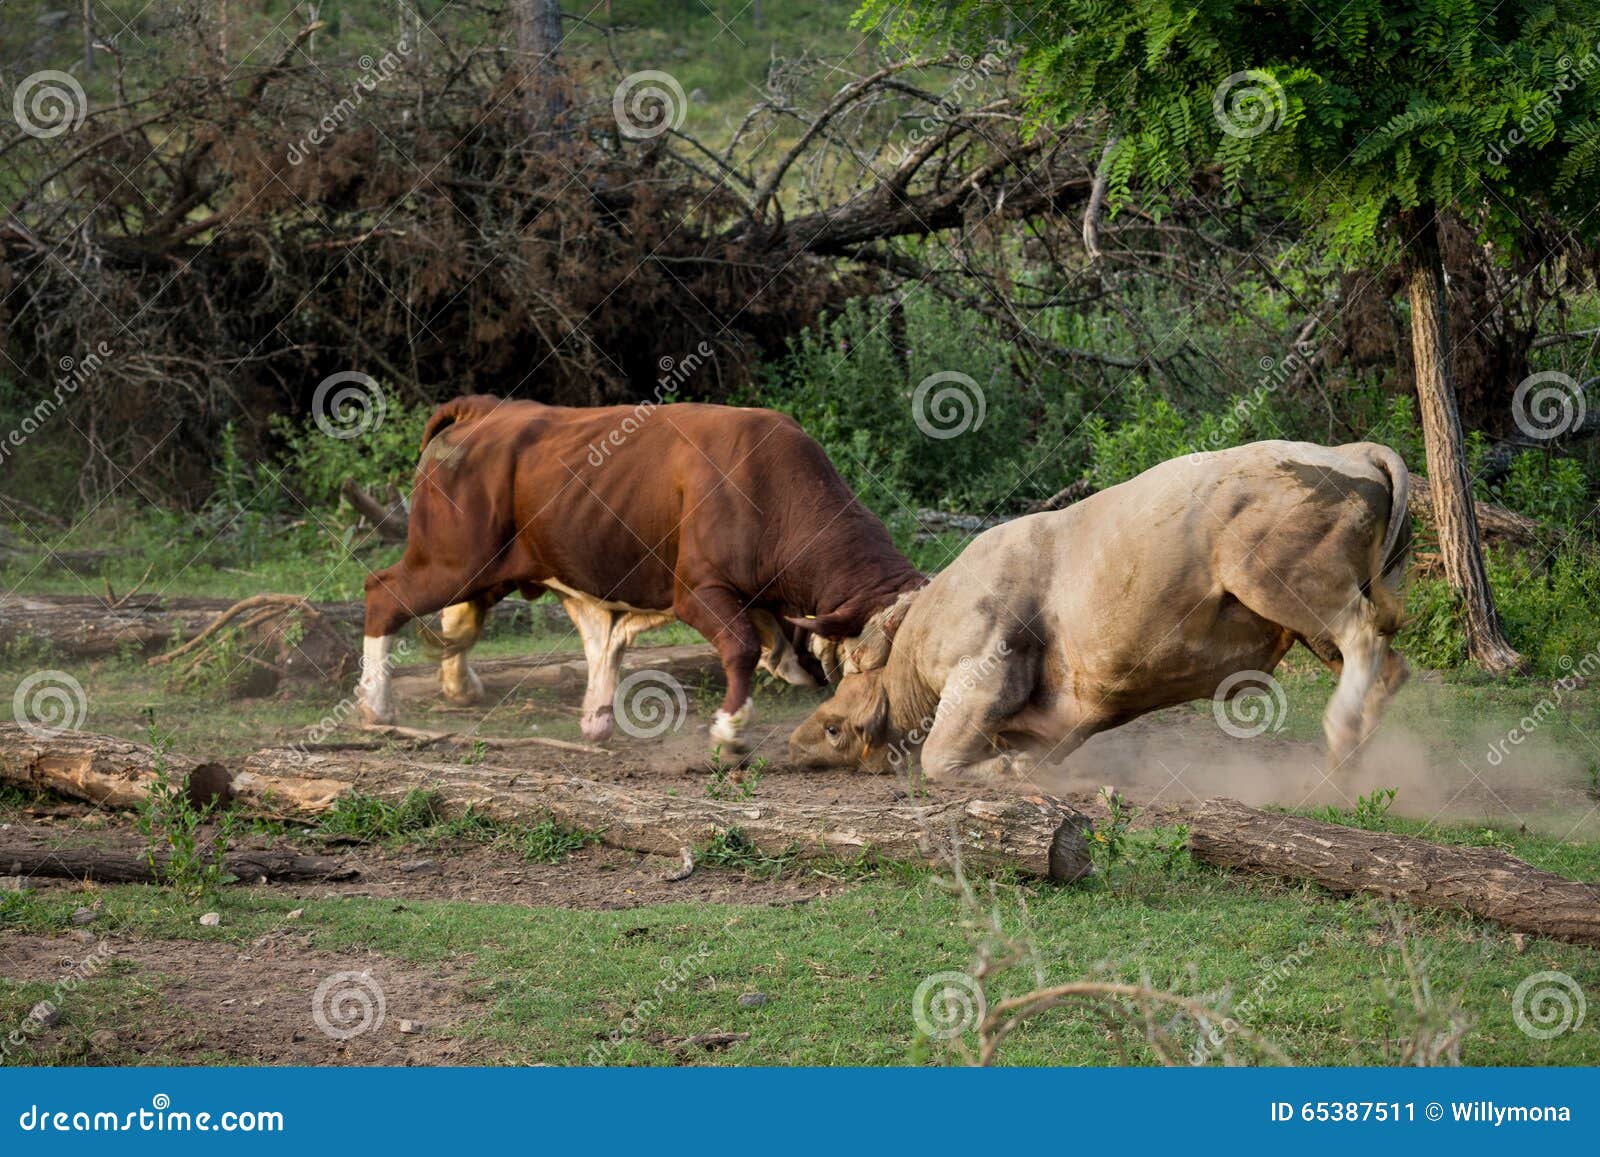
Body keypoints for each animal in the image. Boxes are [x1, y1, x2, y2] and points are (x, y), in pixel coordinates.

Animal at [356, 395, 926, 750]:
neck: (773, 489)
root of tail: (485, 408)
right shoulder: (697, 590)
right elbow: (741, 646)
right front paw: (729, 729)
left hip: (484, 564)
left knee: (467, 617)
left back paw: (468, 689)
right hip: (450, 557)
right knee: (383, 593)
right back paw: (376, 706)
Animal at [787, 441, 1412, 781]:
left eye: (835, 728)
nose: (791, 745)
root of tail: (1351, 451)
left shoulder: (985, 668)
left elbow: (939, 758)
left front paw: (1011, 772)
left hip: (1285, 582)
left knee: (1364, 637)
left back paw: (1340, 733)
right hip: (1316, 612)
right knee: (1390, 661)